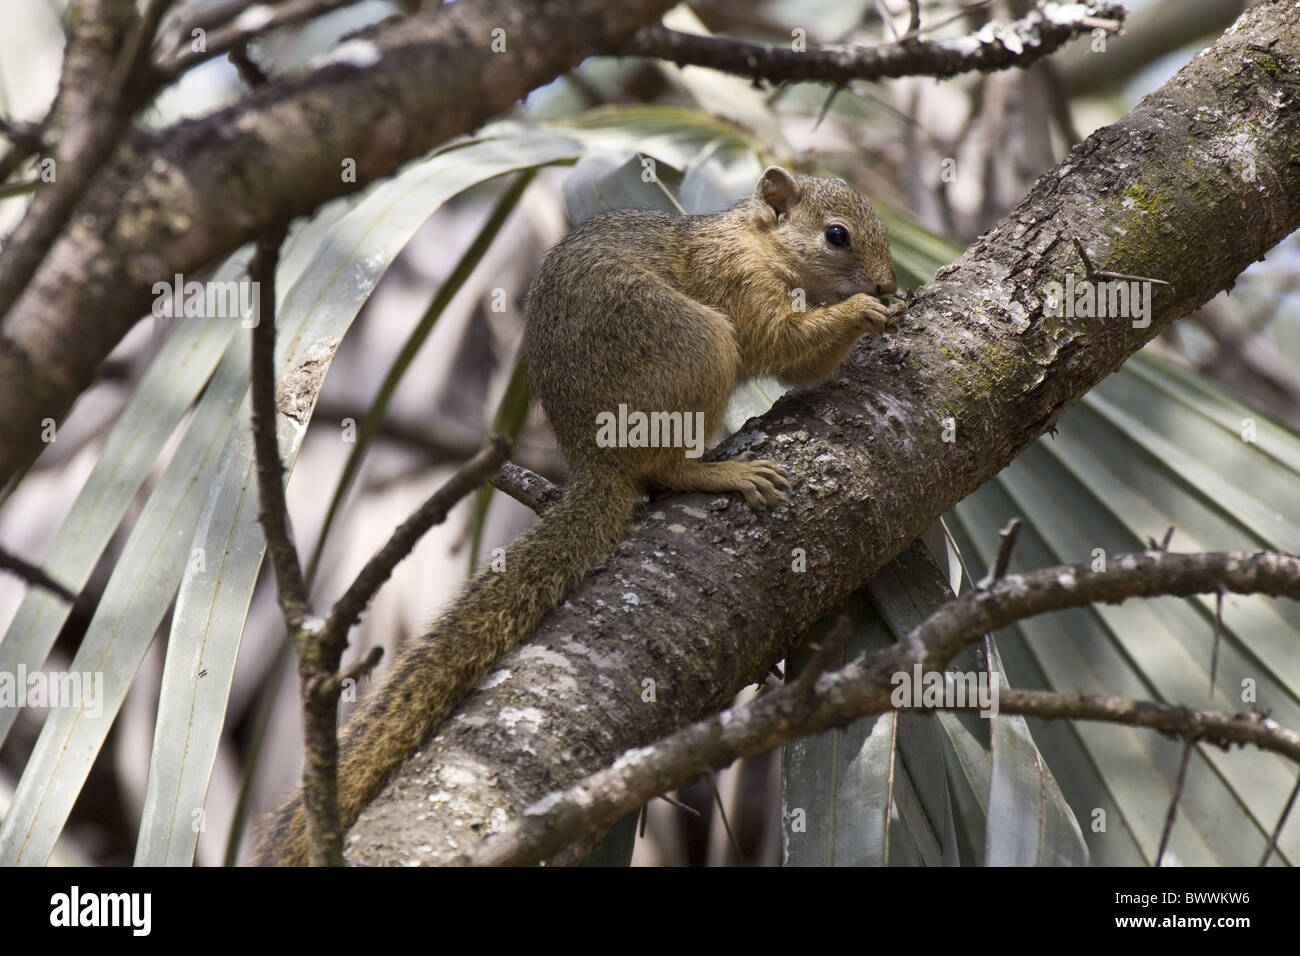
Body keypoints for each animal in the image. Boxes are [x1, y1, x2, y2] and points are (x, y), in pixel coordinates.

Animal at [253, 165, 901, 865]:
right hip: (689, 343)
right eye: (836, 236)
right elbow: (777, 341)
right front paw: (863, 312)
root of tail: (597, 462)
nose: (888, 284)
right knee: (666, 464)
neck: (756, 241)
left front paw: (892, 310)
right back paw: (716, 472)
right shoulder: (736, 281)